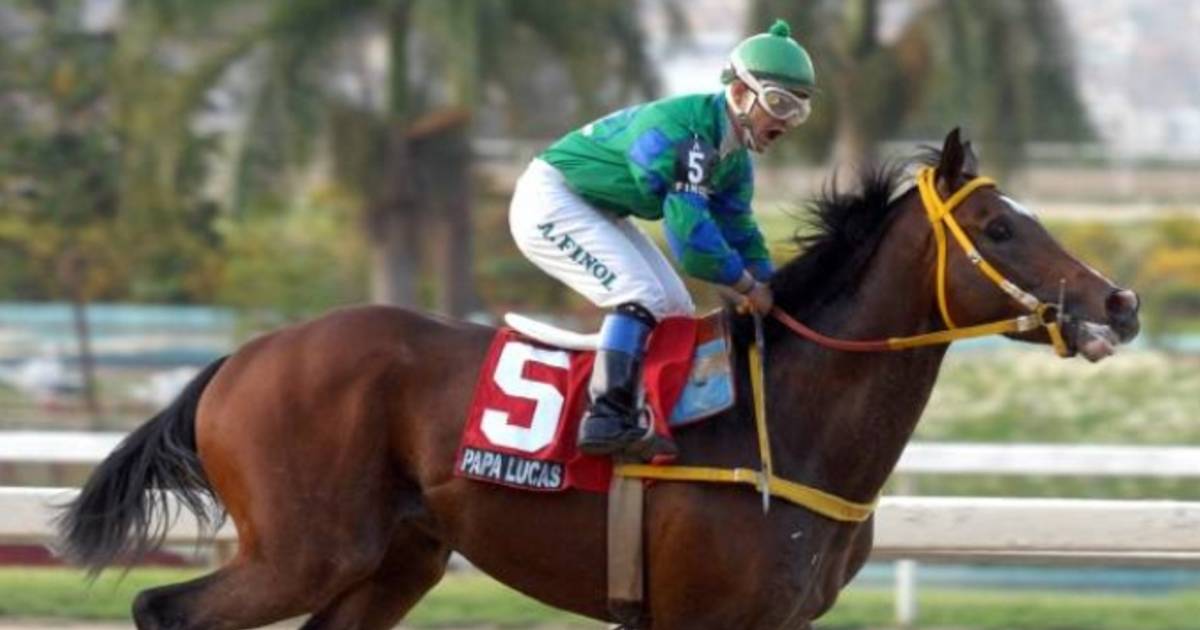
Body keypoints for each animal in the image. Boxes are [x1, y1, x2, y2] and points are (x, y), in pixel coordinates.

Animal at [57, 129, 1140, 629]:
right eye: (999, 226)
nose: (1120, 301)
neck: (788, 422)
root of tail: (242, 358)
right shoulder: (703, 618)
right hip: (305, 548)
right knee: (164, 610)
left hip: (397, 557)